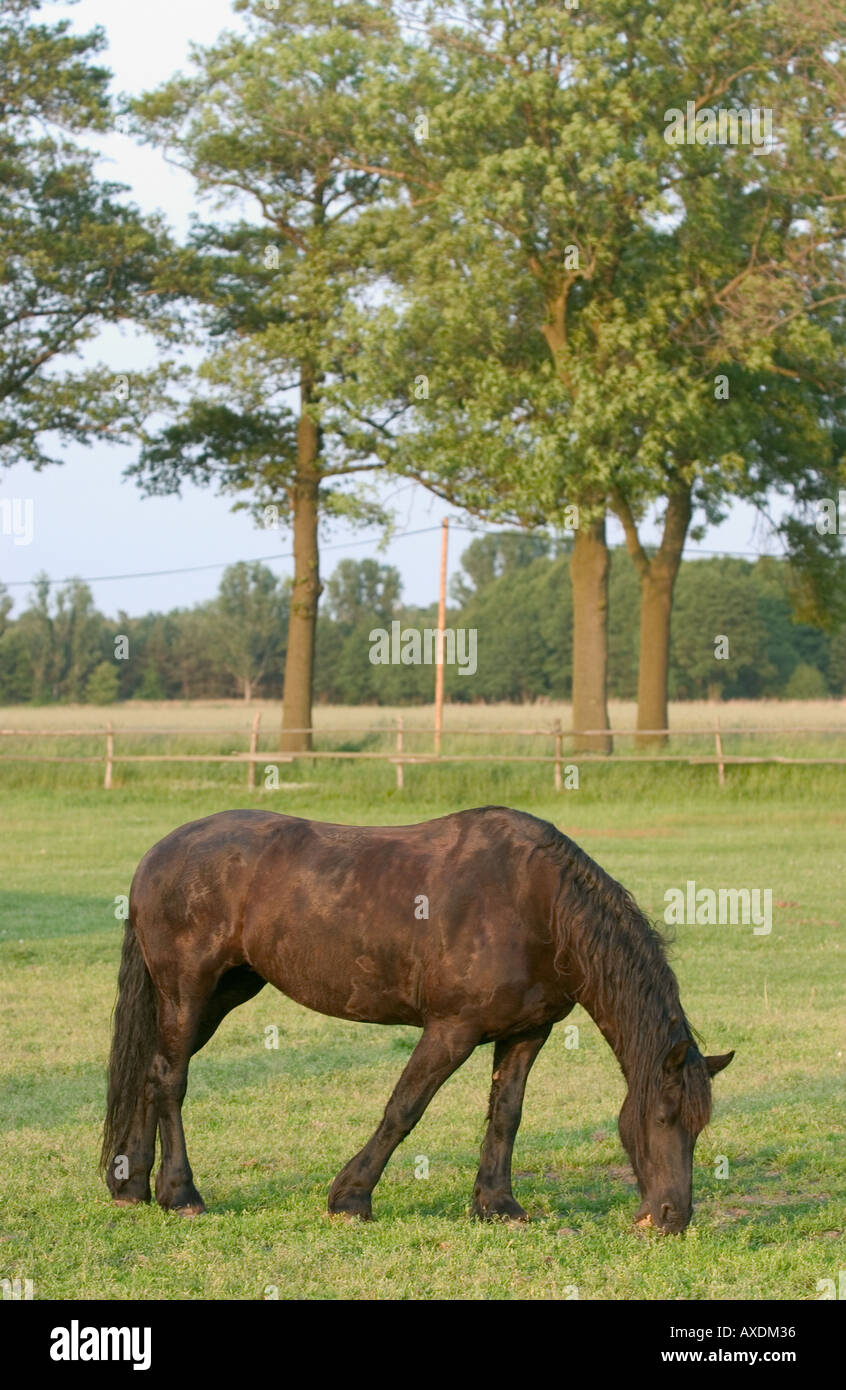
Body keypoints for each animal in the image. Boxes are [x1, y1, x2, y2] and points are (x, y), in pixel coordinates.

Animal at [101, 806, 733, 1231]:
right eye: (661, 1115)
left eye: (700, 1126)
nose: (672, 1217)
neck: (535, 903)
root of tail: (158, 854)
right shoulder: (451, 1030)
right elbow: (404, 1108)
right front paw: (351, 1198)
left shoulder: (527, 1033)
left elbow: (507, 1115)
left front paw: (497, 1205)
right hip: (189, 992)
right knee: (170, 1079)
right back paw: (181, 1193)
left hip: (219, 994)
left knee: (150, 1074)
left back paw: (131, 1185)